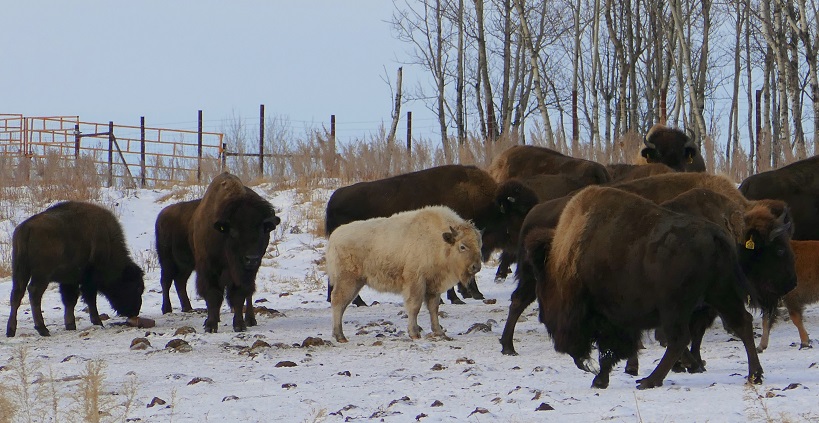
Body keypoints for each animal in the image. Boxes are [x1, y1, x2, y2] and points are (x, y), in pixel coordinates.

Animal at [7, 201, 145, 337]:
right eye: (137, 287)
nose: (135, 311)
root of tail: (26, 228)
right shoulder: (87, 280)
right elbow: (89, 299)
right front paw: (97, 322)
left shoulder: (69, 280)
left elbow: (69, 300)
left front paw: (70, 325)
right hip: (41, 275)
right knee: (34, 293)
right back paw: (43, 329)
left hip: (20, 270)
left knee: (16, 295)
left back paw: (11, 330)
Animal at [191, 172, 280, 333]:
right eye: (233, 231)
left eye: (262, 230)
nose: (251, 258)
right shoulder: (208, 268)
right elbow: (213, 295)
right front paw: (211, 325)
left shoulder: (244, 273)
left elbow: (239, 296)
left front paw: (239, 324)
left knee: (248, 295)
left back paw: (250, 319)